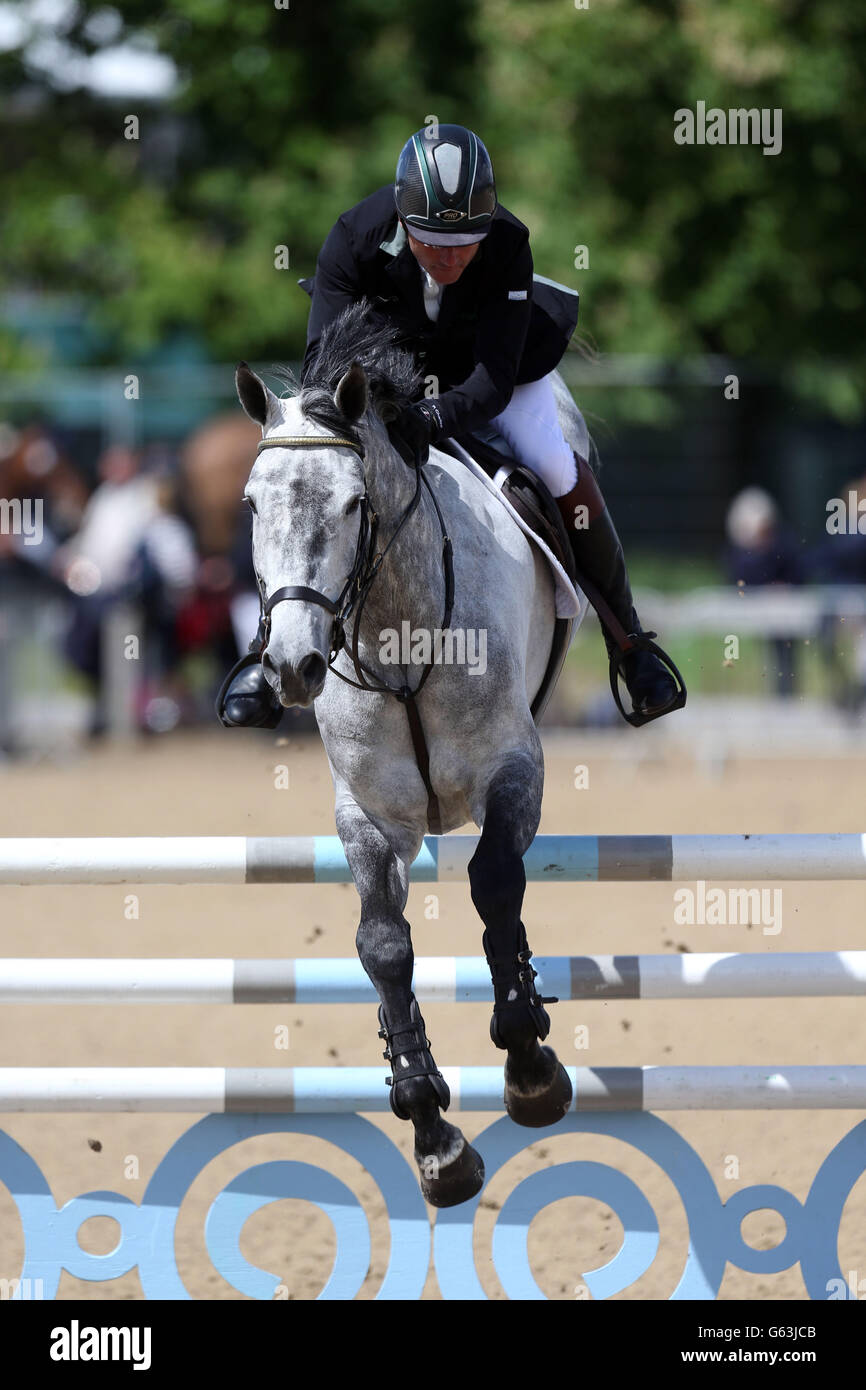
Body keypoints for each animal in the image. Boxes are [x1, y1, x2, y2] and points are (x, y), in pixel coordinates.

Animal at [235, 304, 587, 1207]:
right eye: (251, 505)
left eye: (355, 503)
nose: (293, 665)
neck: (399, 632)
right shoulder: (371, 815)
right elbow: (383, 946)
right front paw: (433, 1132)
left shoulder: (513, 771)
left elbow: (495, 884)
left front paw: (531, 1065)